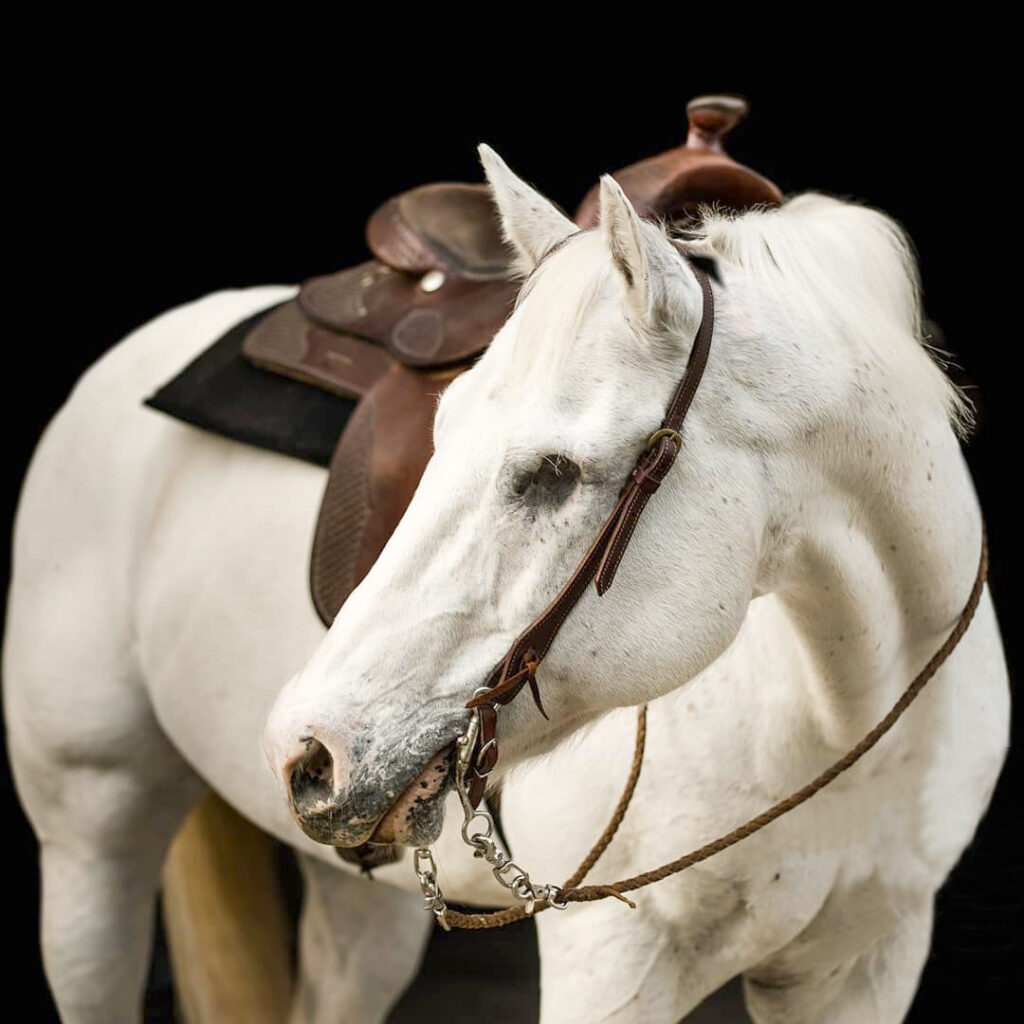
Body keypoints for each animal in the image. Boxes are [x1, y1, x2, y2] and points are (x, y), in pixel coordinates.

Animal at [4, 146, 1009, 1023]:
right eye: (439, 432)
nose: (307, 751)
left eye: (555, 474)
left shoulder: (861, 969)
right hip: (91, 841)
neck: (834, 707)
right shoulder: (612, 966)